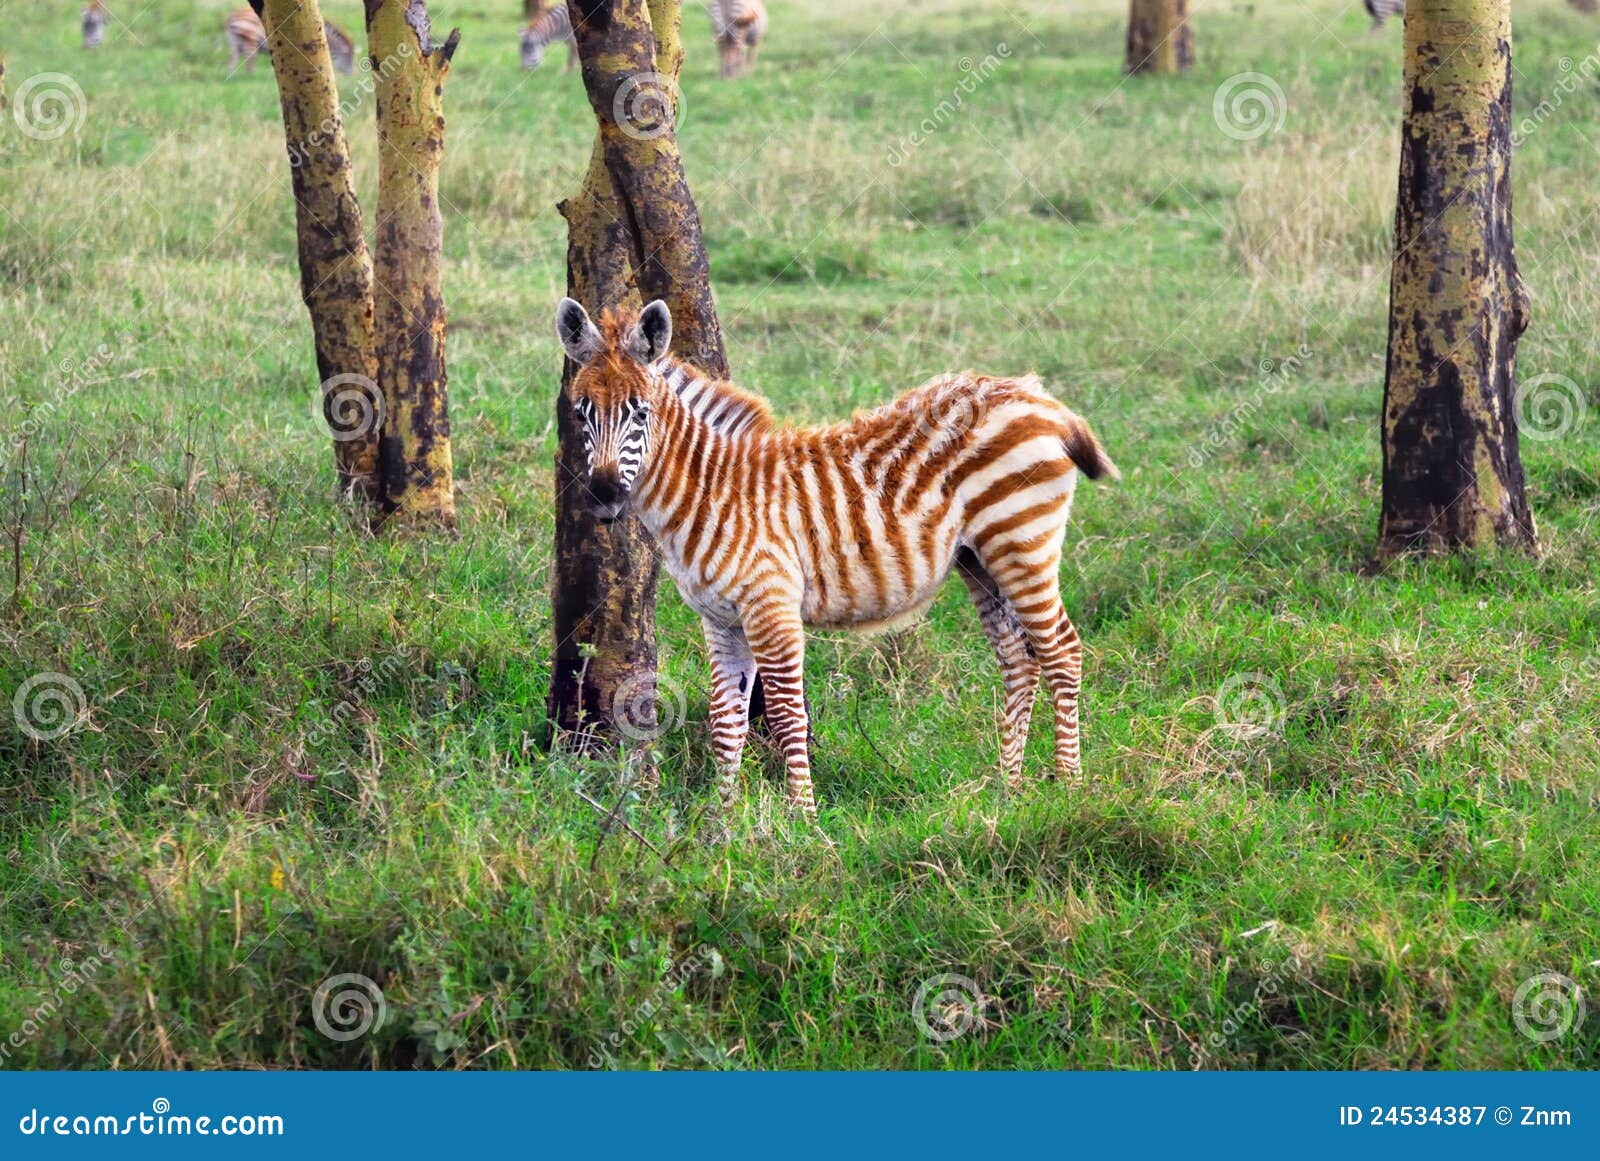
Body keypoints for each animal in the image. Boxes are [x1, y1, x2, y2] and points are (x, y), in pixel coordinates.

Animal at [555, 298, 1117, 819]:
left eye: (639, 413)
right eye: (582, 411)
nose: (603, 495)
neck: (710, 491)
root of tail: (1034, 394)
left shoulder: (771, 605)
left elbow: (786, 714)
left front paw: (802, 818)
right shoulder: (720, 619)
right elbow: (725, 720)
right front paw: (721, 820)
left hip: (1022, 541)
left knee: (1062, 652)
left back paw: (1068, 785)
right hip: (980, 562)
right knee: (1018, 659)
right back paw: (1007, 787)